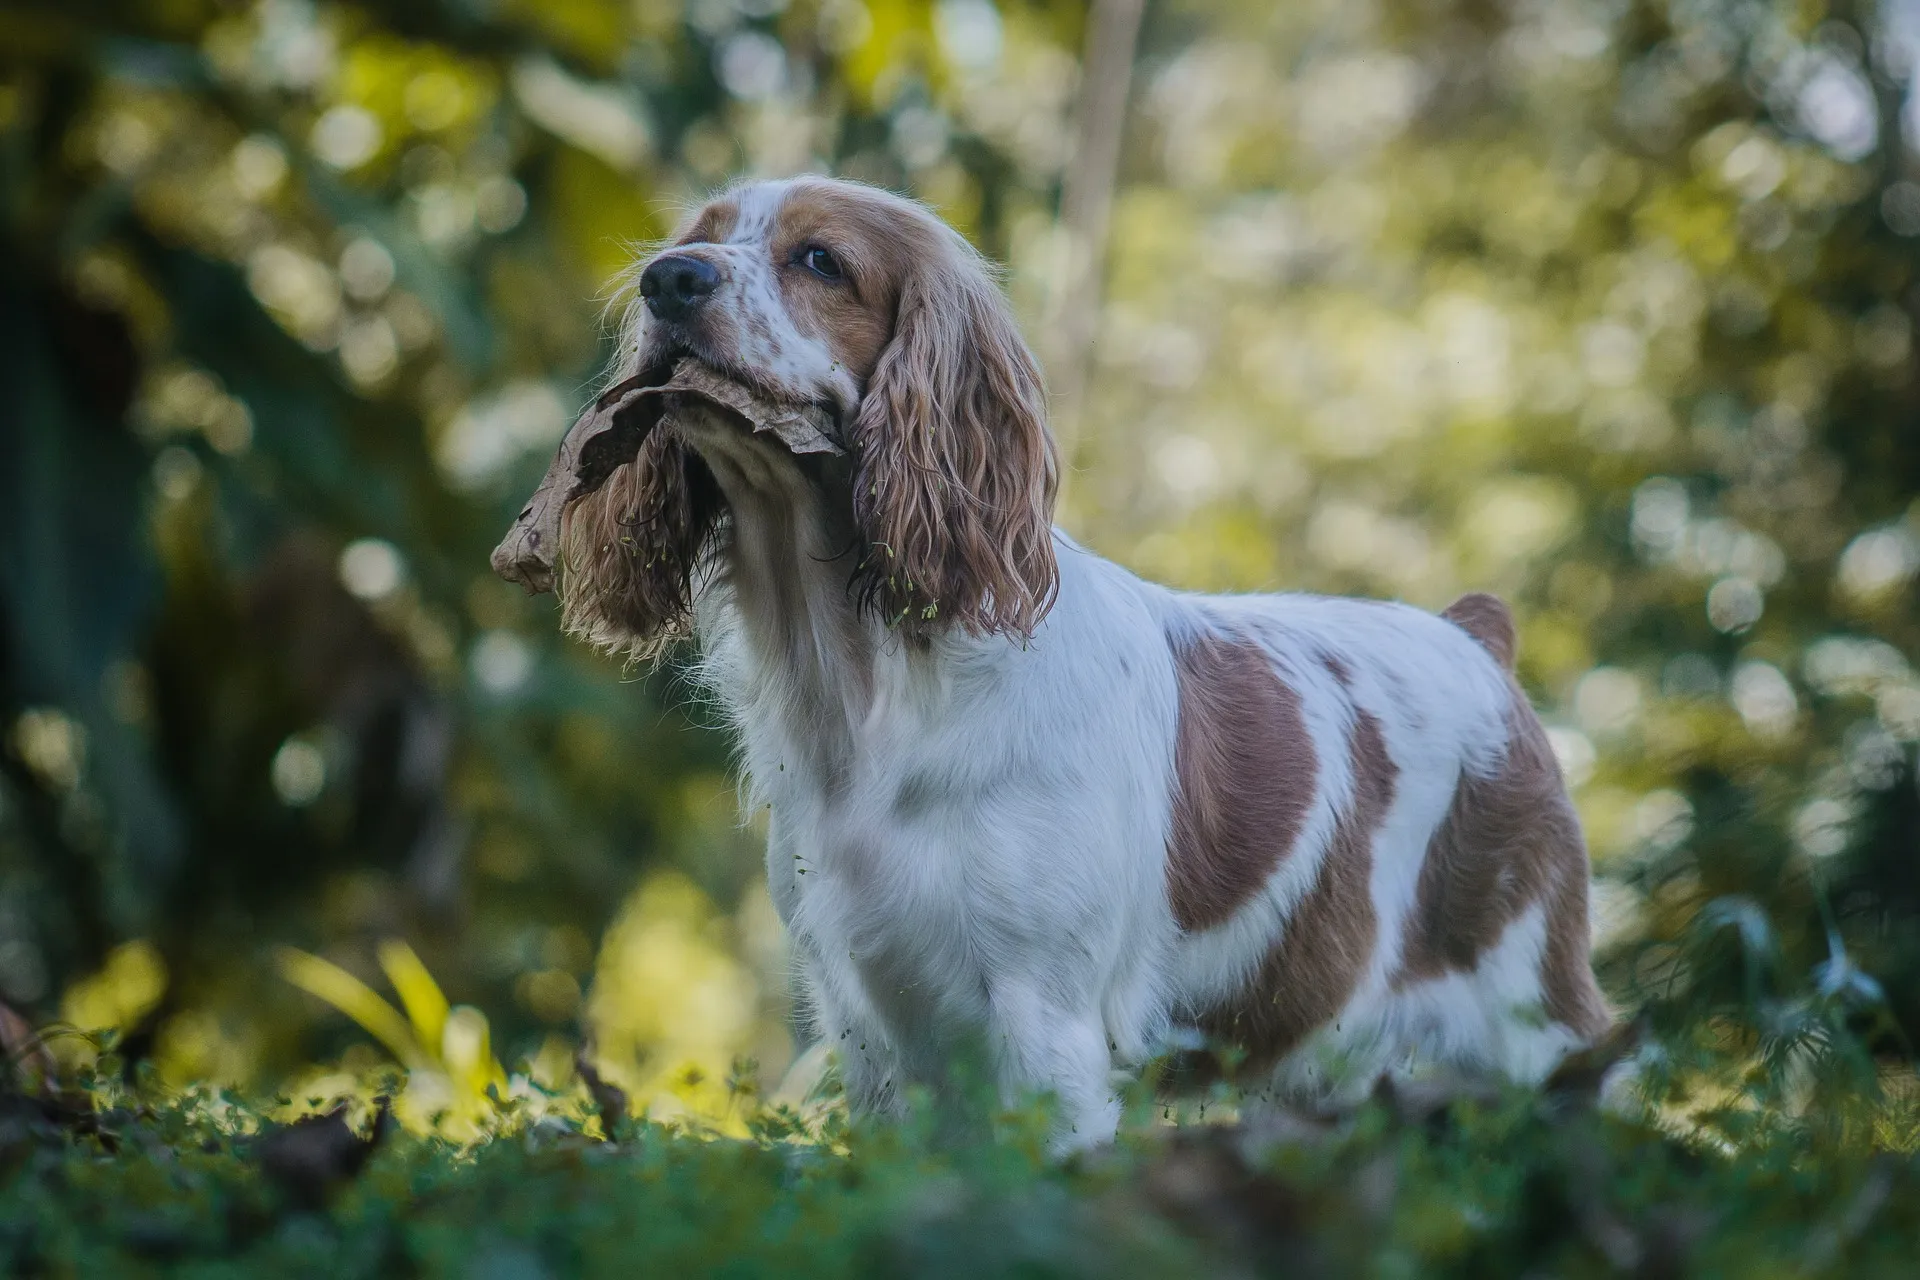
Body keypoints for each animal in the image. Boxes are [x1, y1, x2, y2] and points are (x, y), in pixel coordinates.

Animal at [495, 175, 1605, 1143]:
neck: (872, 680)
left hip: (1537, 1020)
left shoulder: (1046, 1020)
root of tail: (1475, 638)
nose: (670, 278)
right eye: (703, 233)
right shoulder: (872, 1028)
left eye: (820, 260)